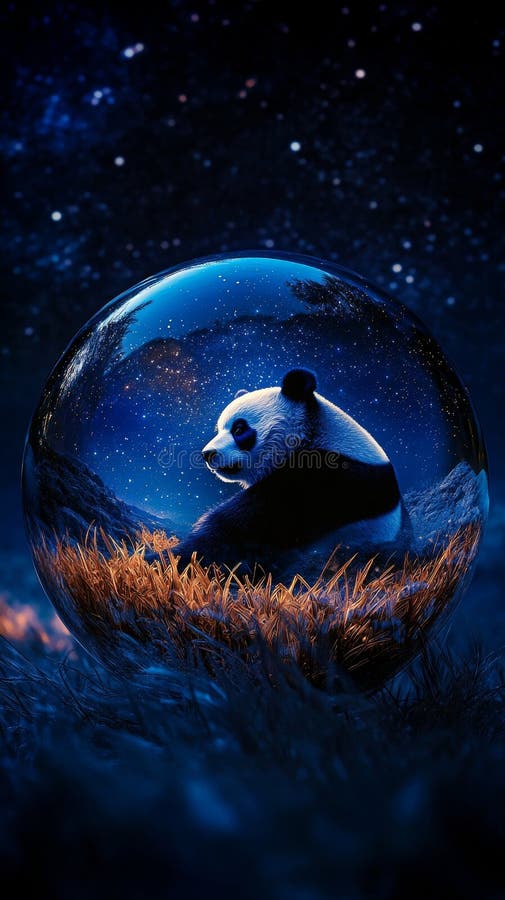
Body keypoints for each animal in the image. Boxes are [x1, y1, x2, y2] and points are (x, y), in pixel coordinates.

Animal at [165, 368, 410, 578]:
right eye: (219, 429)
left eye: (239, 429)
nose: (208, 453)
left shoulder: (327, 481)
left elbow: (241, 530)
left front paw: (170, 558)